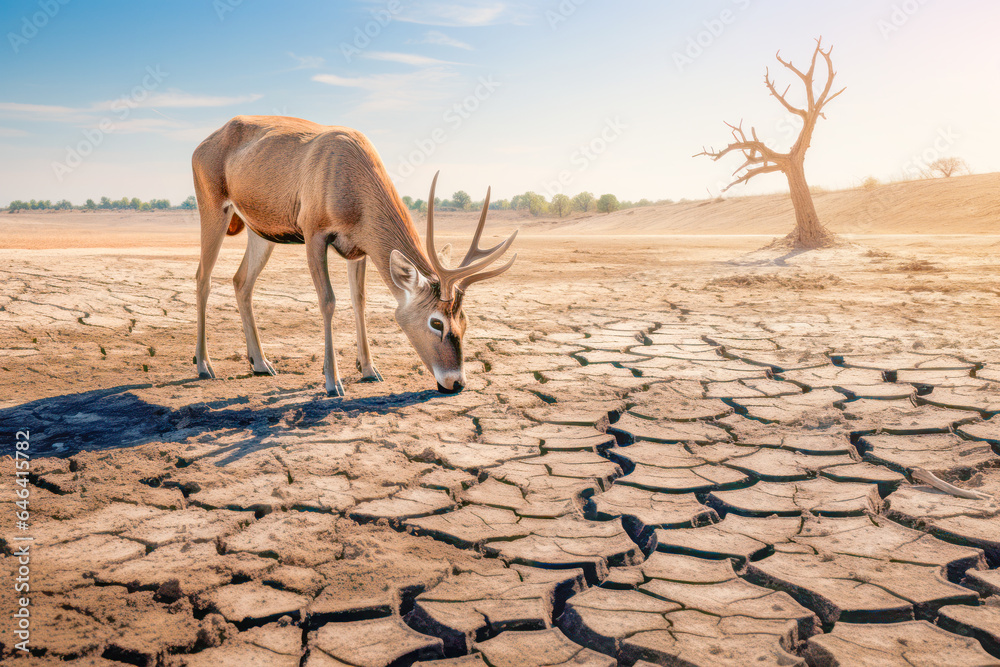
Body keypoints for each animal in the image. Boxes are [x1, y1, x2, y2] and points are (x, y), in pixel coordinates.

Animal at [191, 115, 516, 397]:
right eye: (436, 322)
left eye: (464, 321)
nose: (456, 383)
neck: (347, 170)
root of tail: (205, 143)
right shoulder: (314, 236)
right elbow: (328, 301)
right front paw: (333, 382)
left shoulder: (358, 250)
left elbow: (359, 301)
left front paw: (369, 369)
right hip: (215, 212)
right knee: (203, 278)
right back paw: (204, 365)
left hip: (261, 233)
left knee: (241, 282)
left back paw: (260, 363)